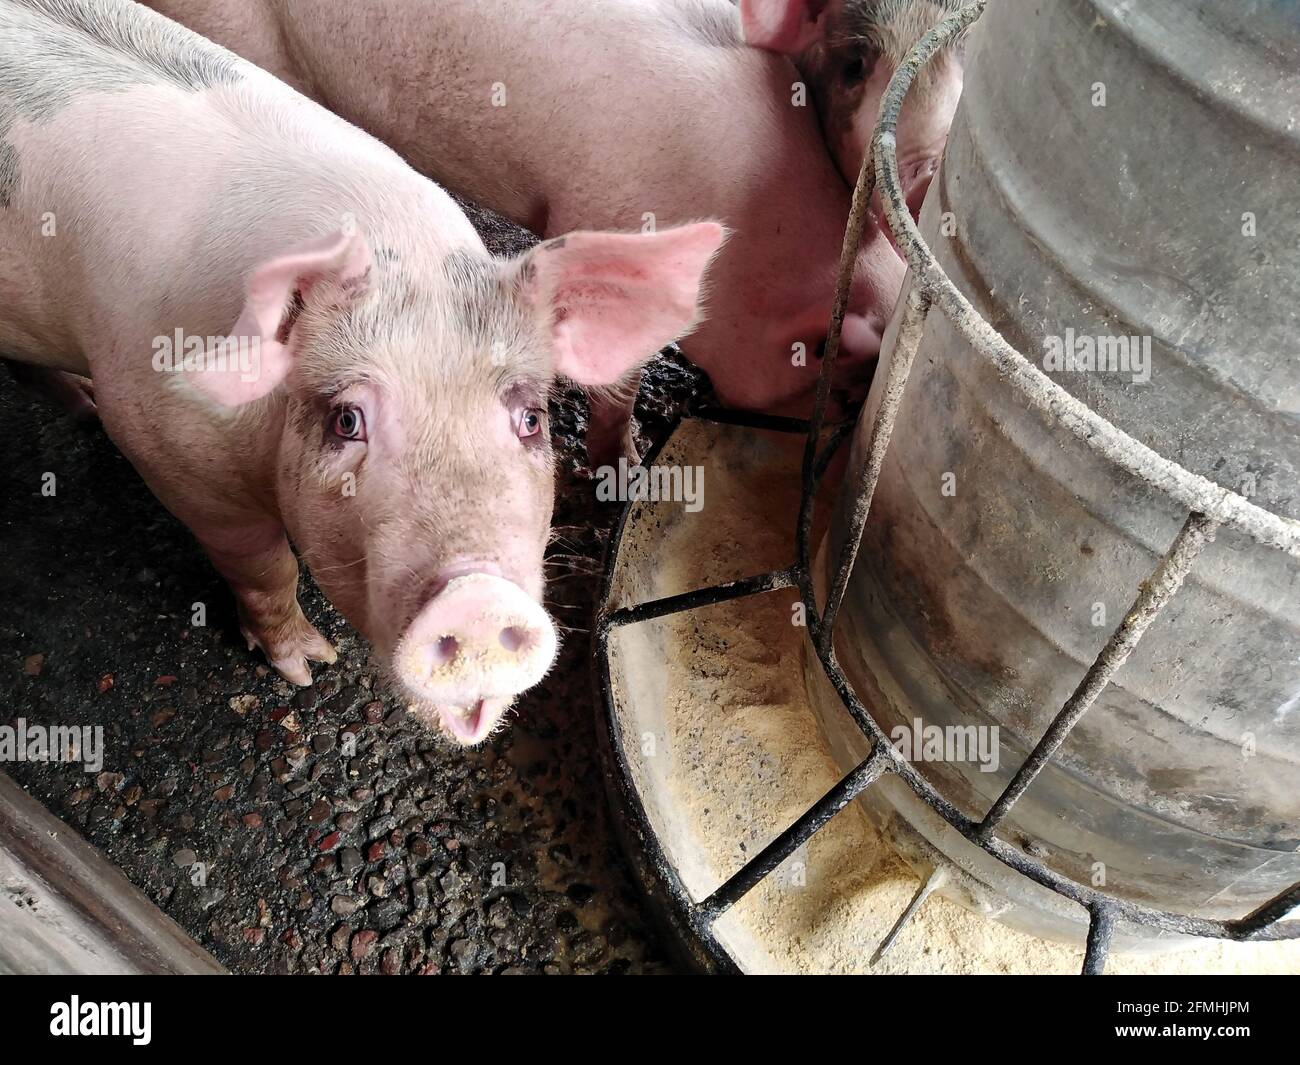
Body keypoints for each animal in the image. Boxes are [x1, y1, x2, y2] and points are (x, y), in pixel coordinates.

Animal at [0, 0, 723, 743]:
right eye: (348, 419)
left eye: (529, 418)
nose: (477, 599)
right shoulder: (169, 454)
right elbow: (264, 567)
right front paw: (308, 667)